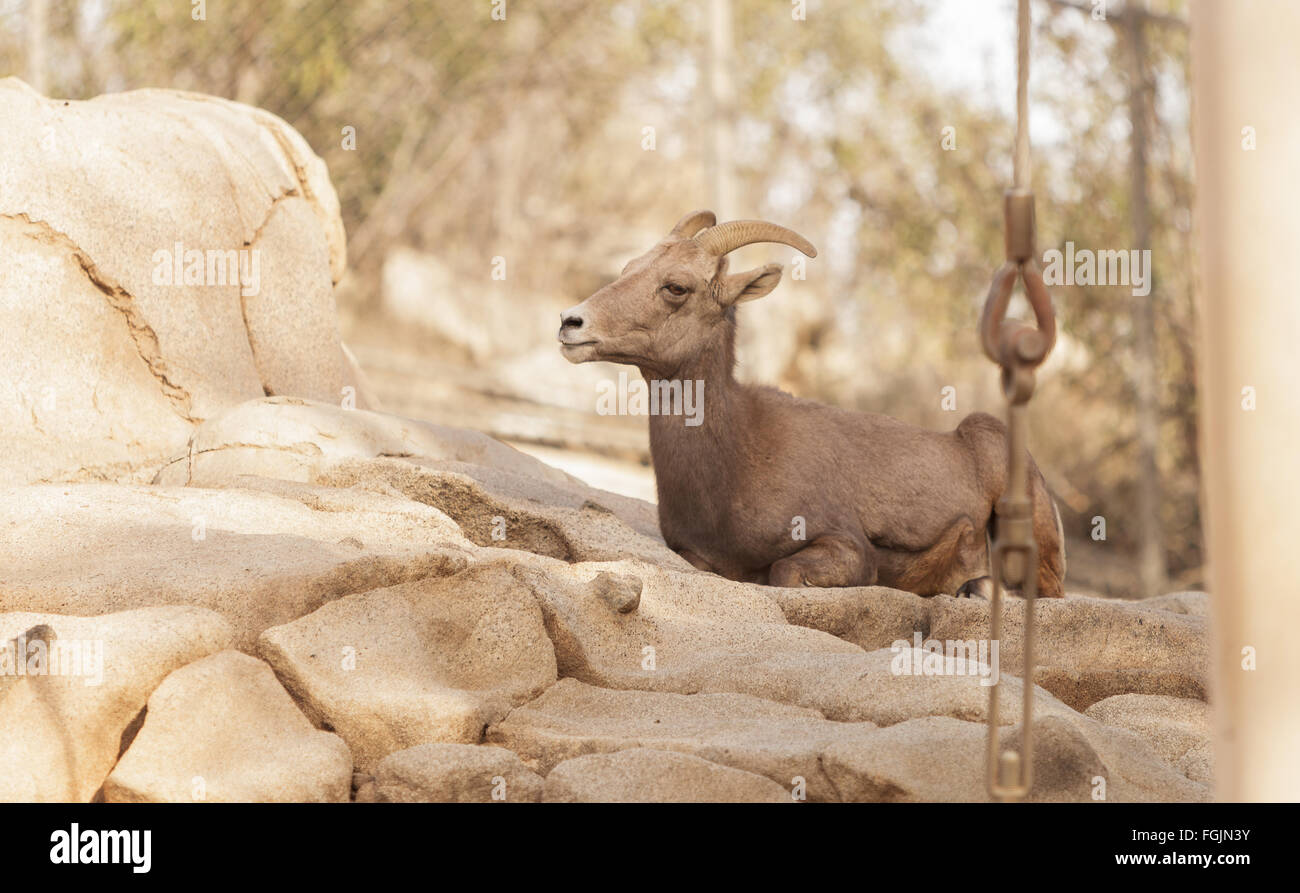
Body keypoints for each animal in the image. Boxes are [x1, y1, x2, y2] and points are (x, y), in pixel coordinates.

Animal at [557, 210, 1065, 597]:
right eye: (628, 269)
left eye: (676, 287)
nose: (571, 323)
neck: (734, 459)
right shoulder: (695, 555)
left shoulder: (845, 547)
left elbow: (784, 572)